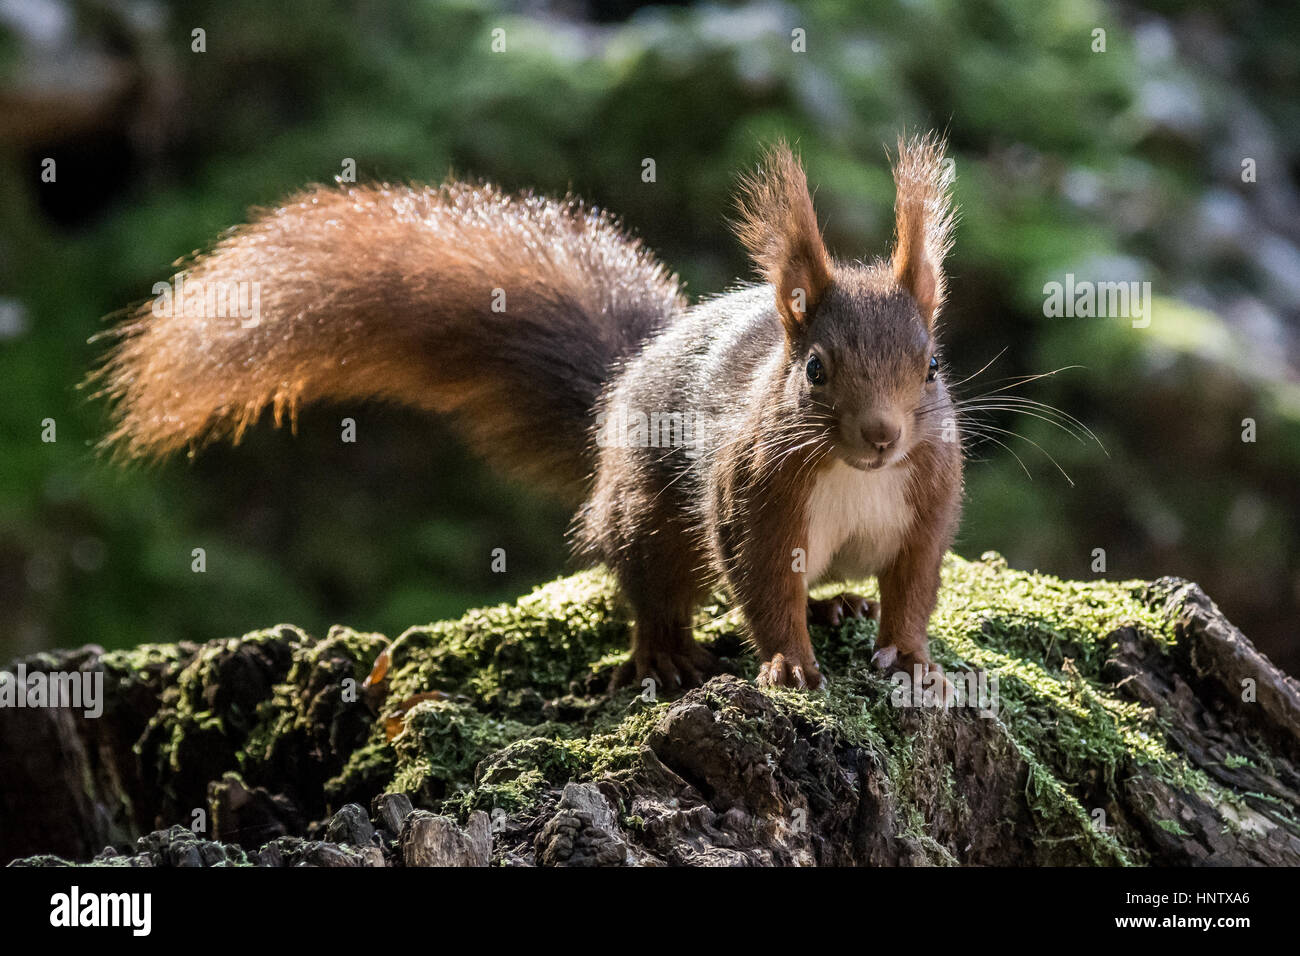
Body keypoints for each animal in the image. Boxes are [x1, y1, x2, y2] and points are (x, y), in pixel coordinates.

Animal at [90, 133, 962, 693]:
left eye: (932, 367)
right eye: (814, 369)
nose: (881, 436)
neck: (855, 474)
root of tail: (623, 383)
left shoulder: (925, 502)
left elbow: (914, 584)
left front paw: (912, 658)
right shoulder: (755, 498)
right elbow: (762, 587)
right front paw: (787, 663)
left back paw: (840, 602)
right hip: (645, 511)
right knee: (650, 581)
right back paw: (667, 655)